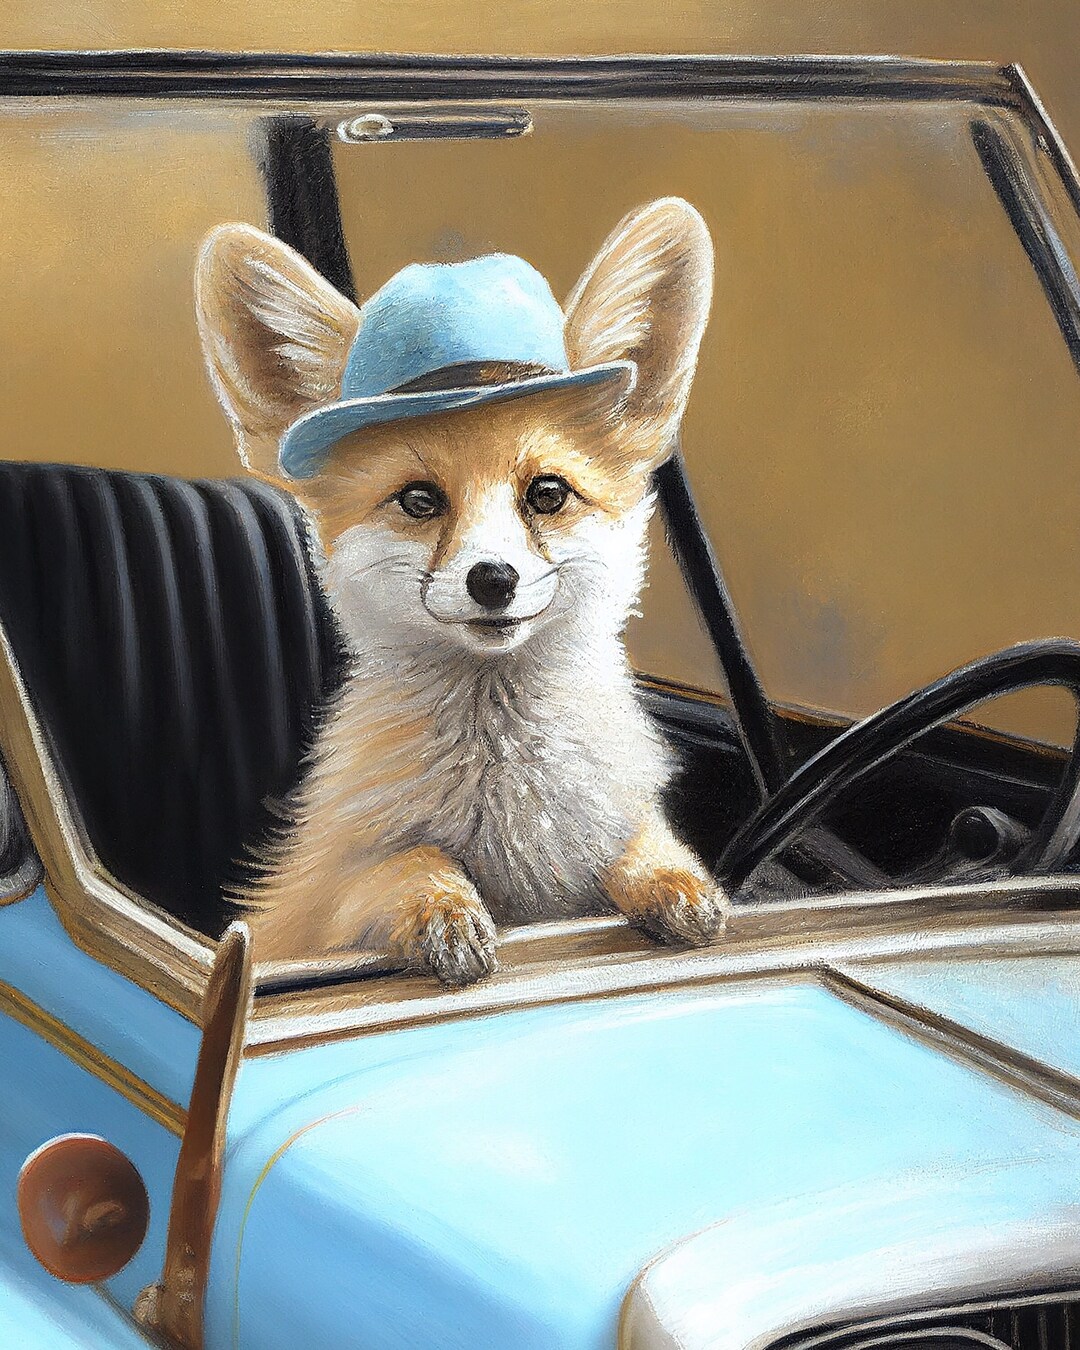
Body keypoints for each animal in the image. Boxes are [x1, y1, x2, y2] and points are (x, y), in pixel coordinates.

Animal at [194, 196, 728, 985]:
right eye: (419, 500)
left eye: (547, 493)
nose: (493, 580)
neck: (508, 804)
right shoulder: (326, 898)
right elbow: (403, 865)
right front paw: (443, 906)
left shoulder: (611, 826)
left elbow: (641, 845)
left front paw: (677, 883)